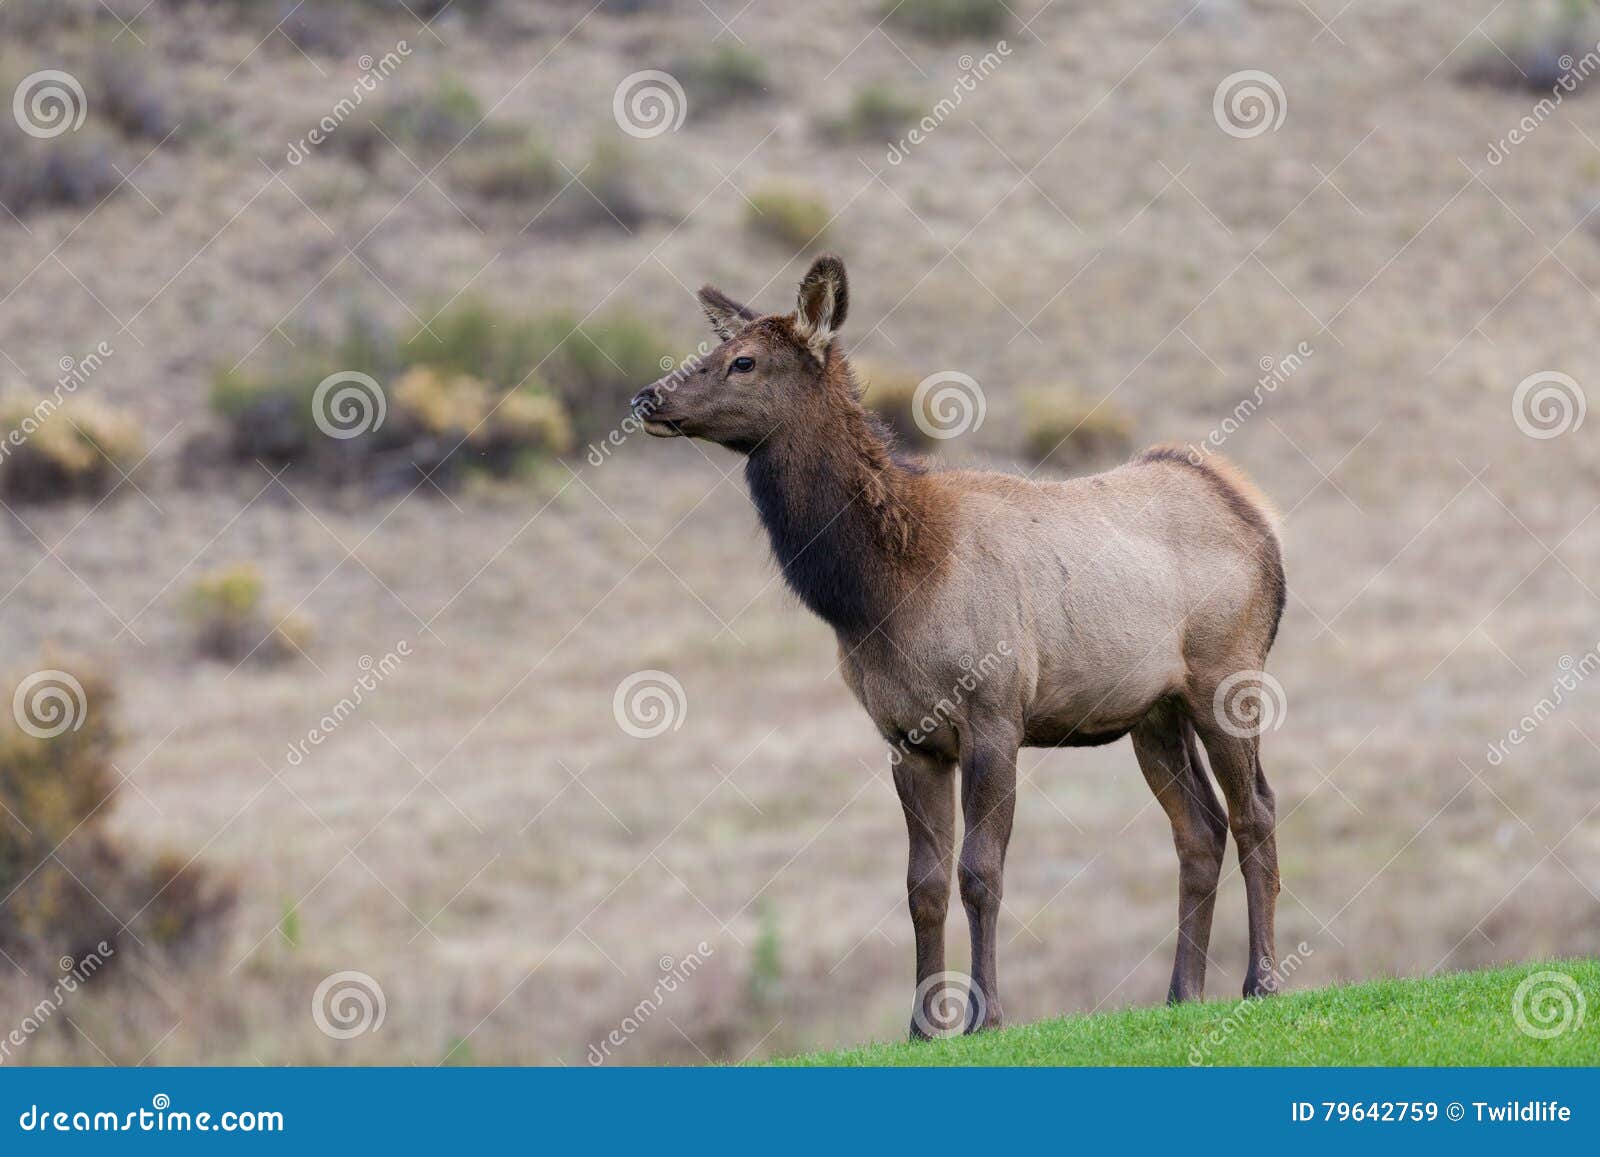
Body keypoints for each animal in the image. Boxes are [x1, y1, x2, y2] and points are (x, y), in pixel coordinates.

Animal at [630, 254, 1287, 1039]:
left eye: (743, 361)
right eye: (714, 348)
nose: (647, 397)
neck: (883, 591)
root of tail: (1257, 518)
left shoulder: (995, 710)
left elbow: (982, 871)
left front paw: (988, 1014)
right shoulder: (906, 734)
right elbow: (924, 883)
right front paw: (921, 1025)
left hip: (1229, 672)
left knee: (1256, 812)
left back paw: (1261, 981)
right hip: (1153, 709)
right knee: (1200, 829)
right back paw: (1182, 991)